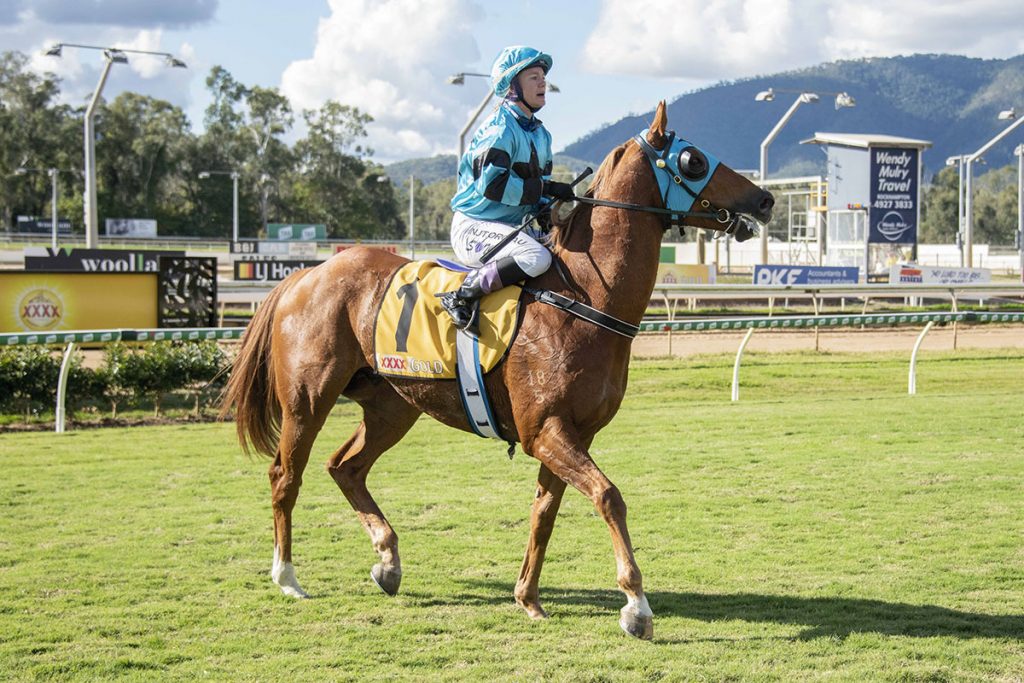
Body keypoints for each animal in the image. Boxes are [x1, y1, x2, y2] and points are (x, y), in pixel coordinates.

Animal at [220, 101, 774, 639]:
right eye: (694, 160)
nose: (765, 200)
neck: (582, 300)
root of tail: (306, 275)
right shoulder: (545, 430)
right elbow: (608, 497)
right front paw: (636, 606)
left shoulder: (573, 433)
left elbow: (545, 513)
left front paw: (528, 598)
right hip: (307, 400)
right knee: (286, 475)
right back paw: (287, 577)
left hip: (392, 406)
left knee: (345, 466)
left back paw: (387, 561)